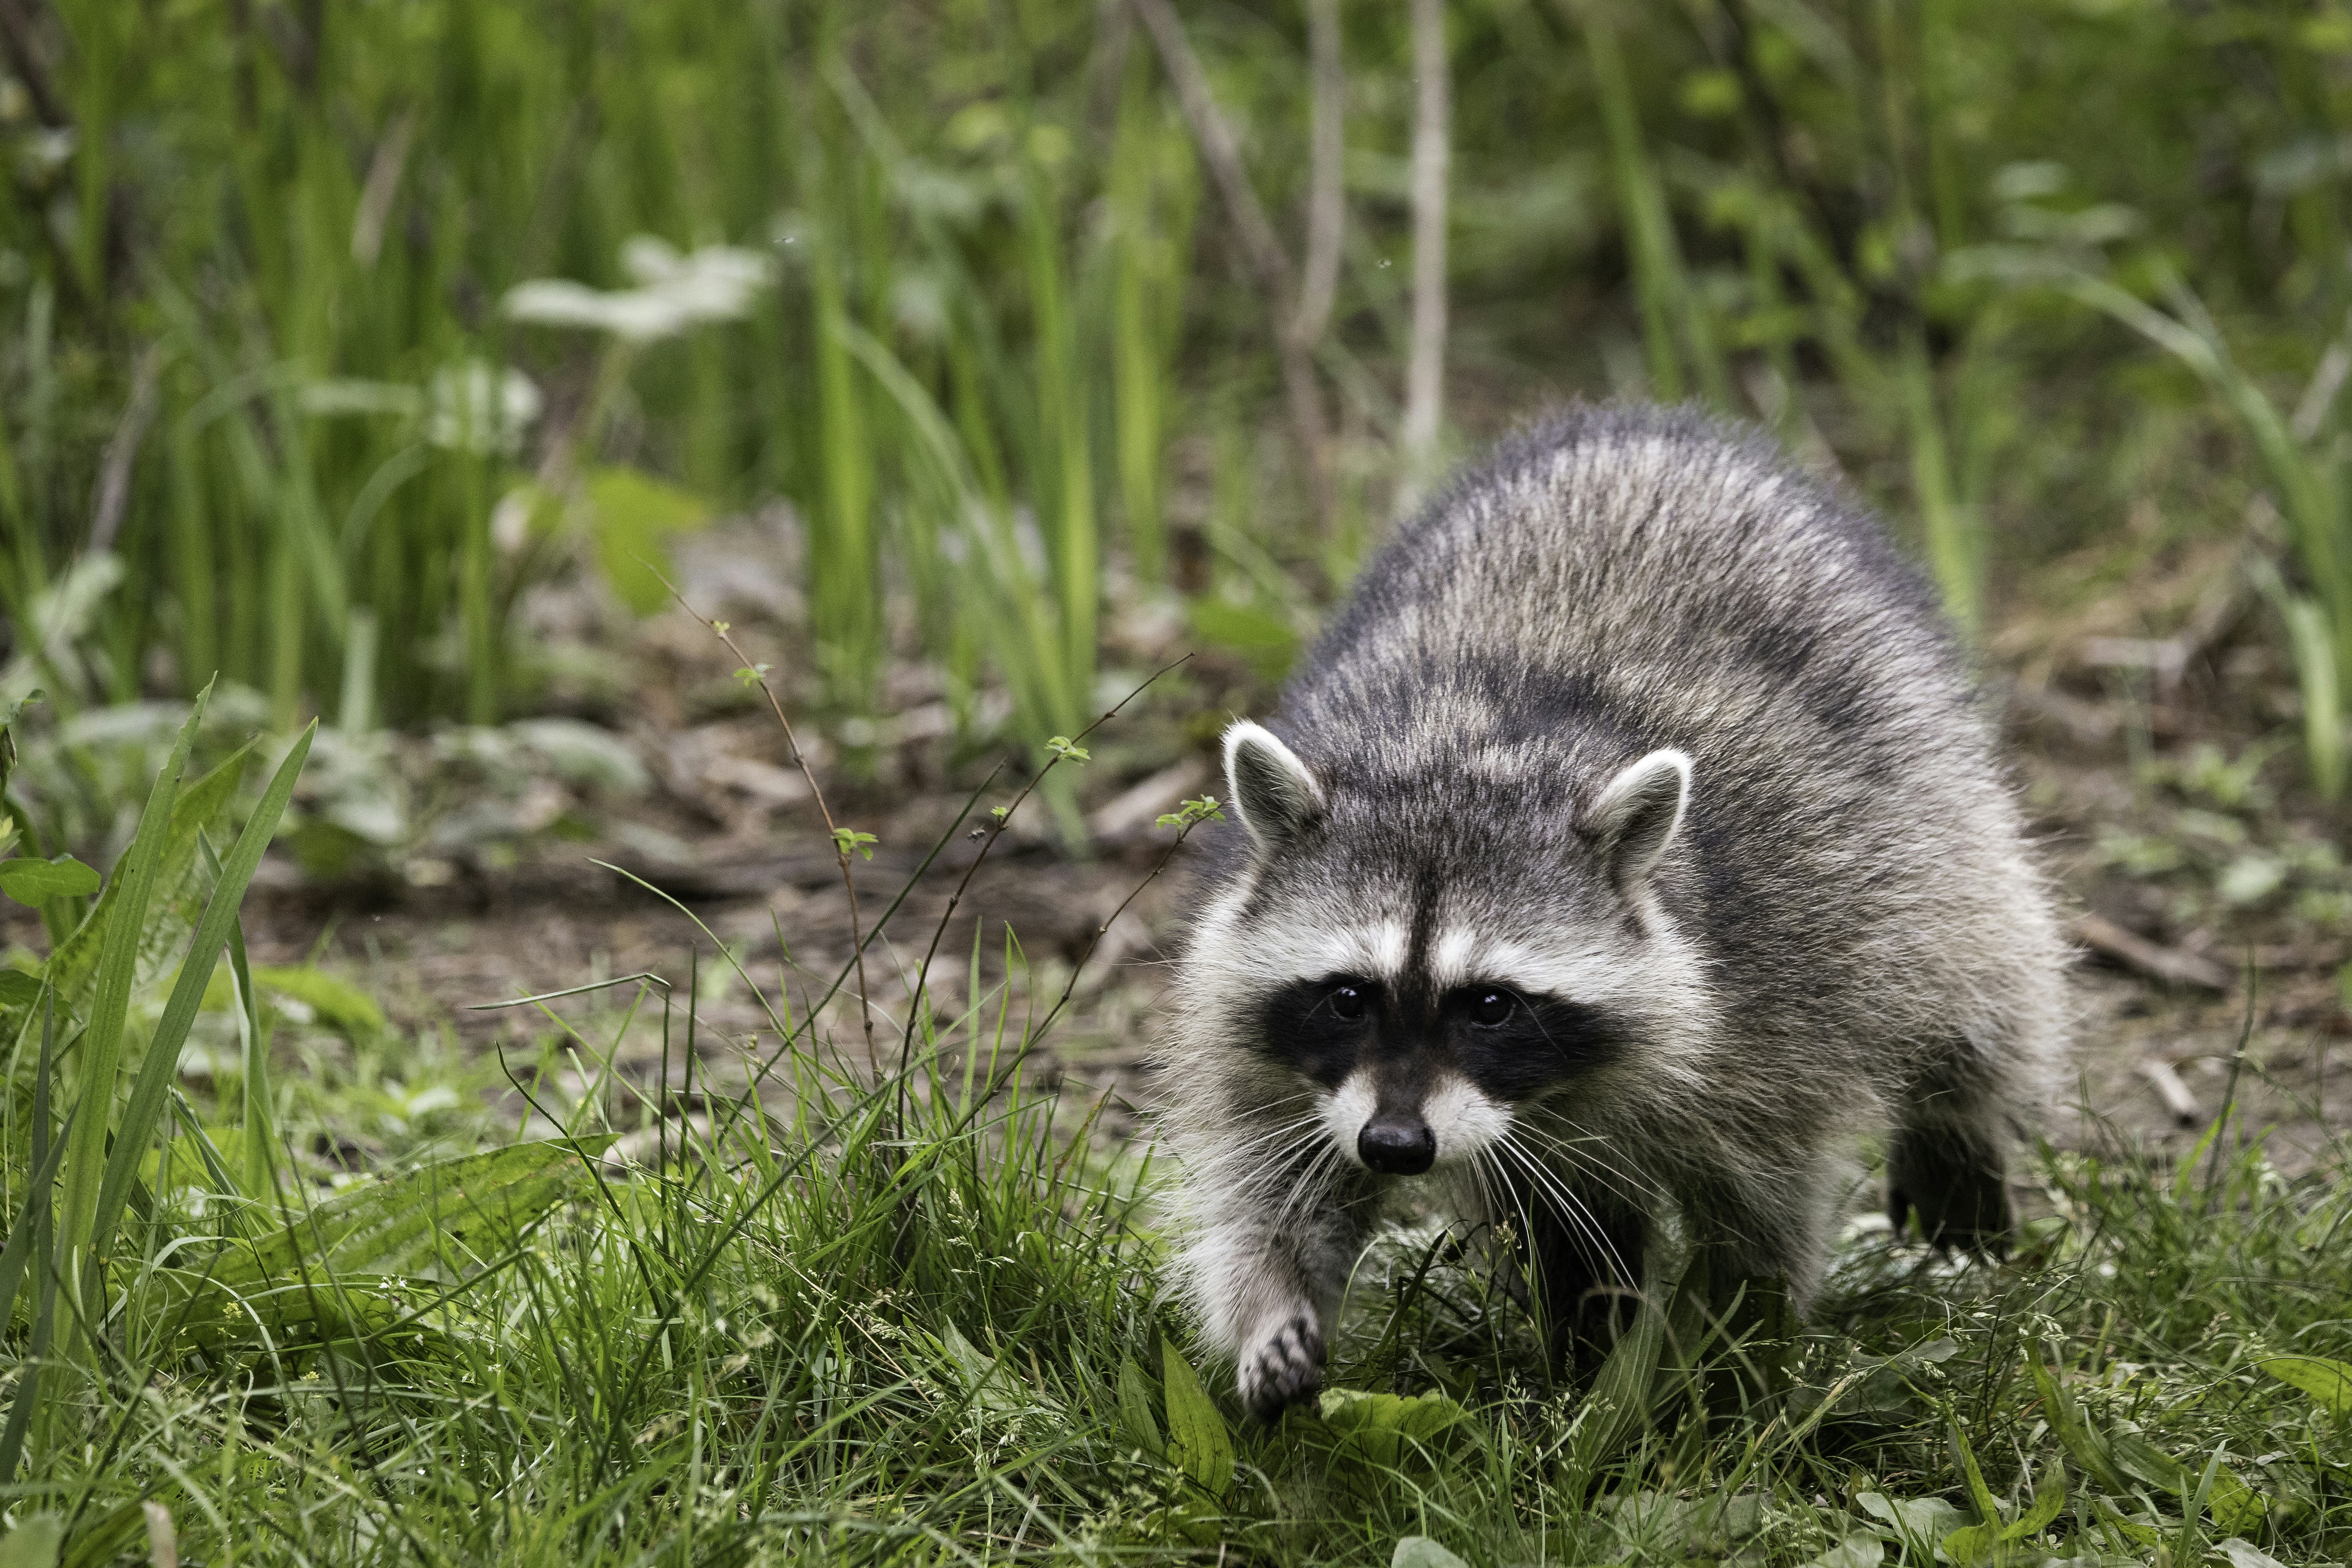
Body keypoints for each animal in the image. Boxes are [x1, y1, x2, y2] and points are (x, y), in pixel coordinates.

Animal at [1158, 404, 2068, 1419]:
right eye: (1350, 996)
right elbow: (1274, 1182)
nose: (1394, 1145)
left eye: (1489, 1003)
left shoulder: (1776, 999)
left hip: (1923, 795)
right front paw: (1271, 1304)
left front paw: (1728, 1367)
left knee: (1979, 967)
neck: (1458, 755)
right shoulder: (1266, 1034)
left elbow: (1761, 1217)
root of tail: (1650, 426)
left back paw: (1958, 1121)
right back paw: (1584, 1331)